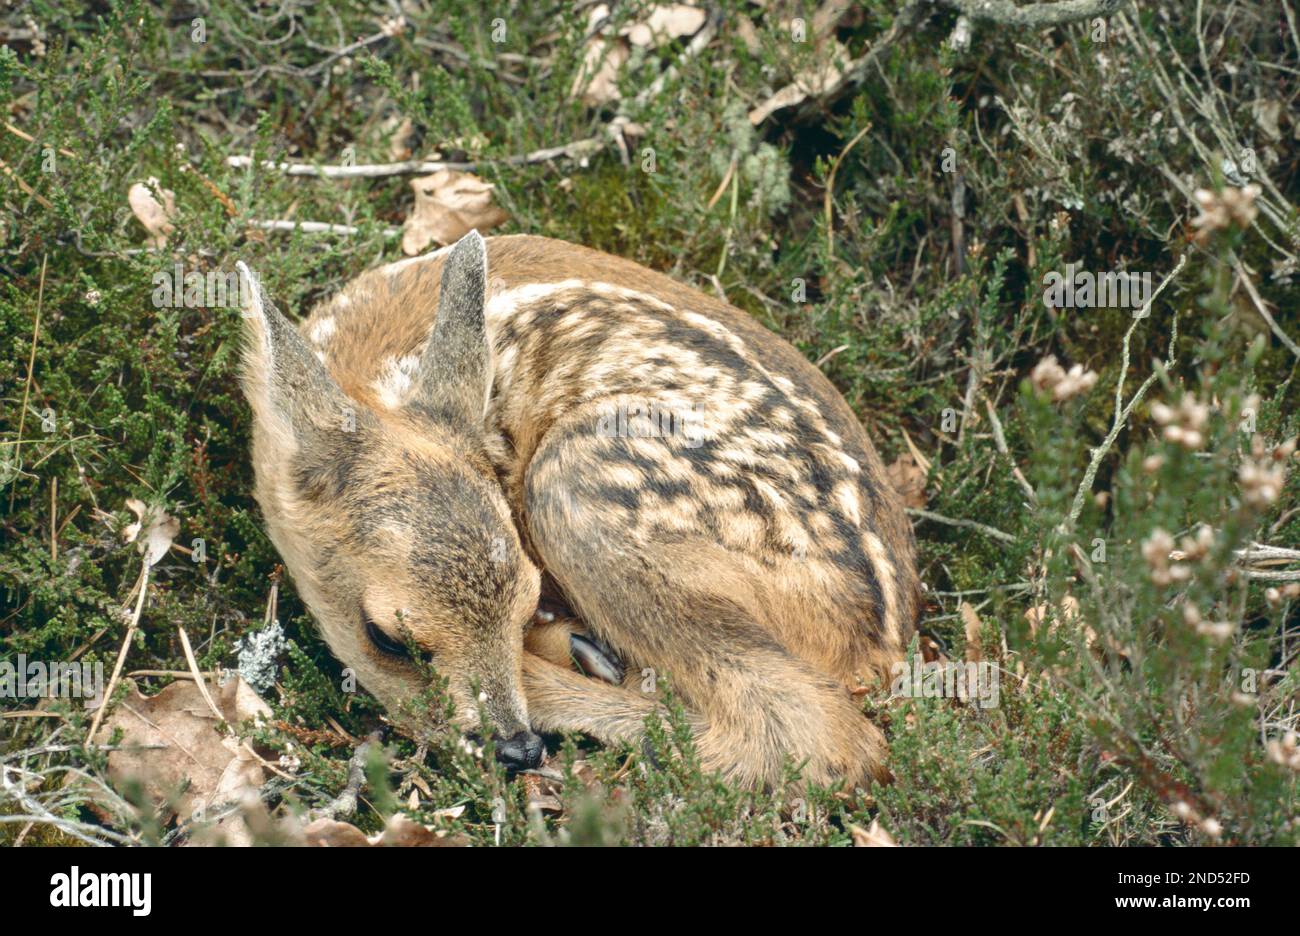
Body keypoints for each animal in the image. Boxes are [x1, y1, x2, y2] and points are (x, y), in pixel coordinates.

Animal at [236, 231, 921, 790]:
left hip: (578, 478)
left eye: (525, 600)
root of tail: (881, 648)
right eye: (386, 636)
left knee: (812, 732)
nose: (517, 750)